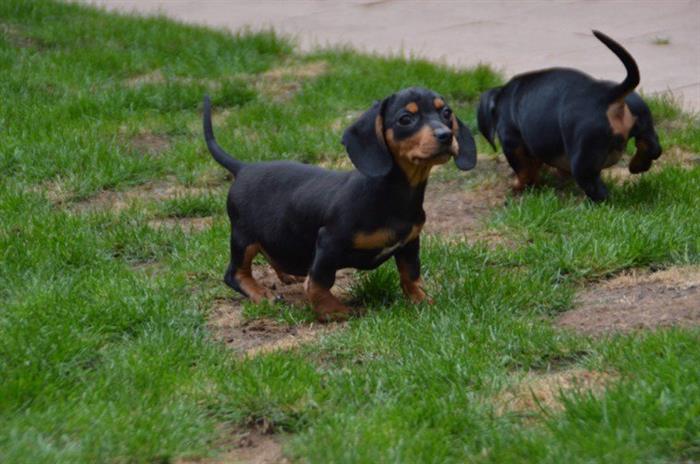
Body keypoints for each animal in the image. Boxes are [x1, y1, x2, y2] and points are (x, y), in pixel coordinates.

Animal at [202, 87, 476, 320]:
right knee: (234, 273)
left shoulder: (409, 243)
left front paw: (424, 301)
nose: (446, 136)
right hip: (243, 236)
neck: (393, 194)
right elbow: (319, 282)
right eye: (406, 119)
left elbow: (411, 276)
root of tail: (244, 168)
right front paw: (334, 311)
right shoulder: (329, 242)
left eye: (446, 112)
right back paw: (262, 294)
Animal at [476, 30, 660, 201]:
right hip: (642, 117)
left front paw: (519, 186)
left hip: (584, 160)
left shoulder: (513, 145)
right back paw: (637, 165)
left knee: (598, 190)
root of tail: (609, 95)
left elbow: (524, 170)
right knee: (652, 147)